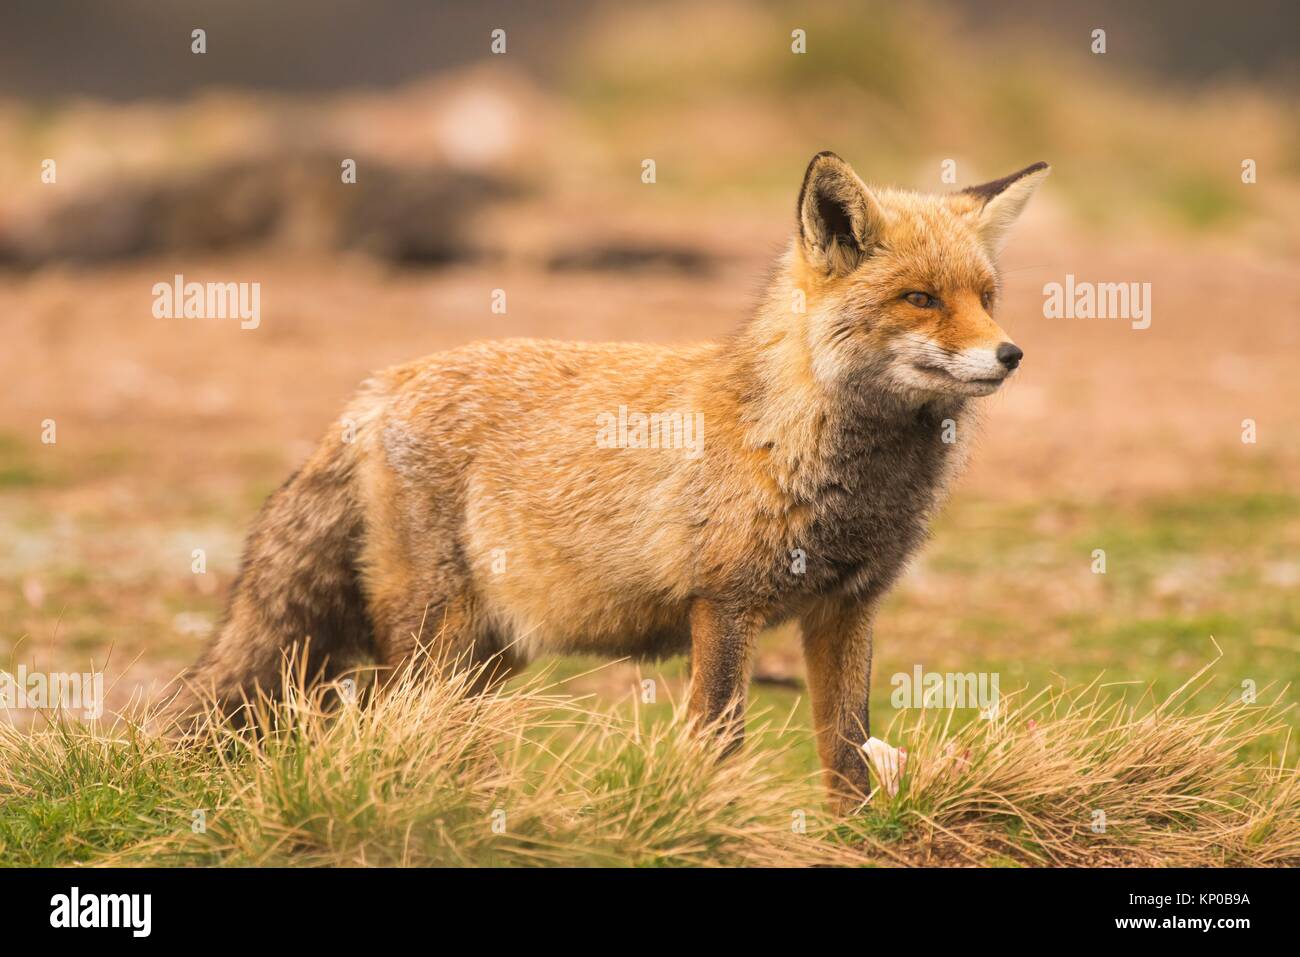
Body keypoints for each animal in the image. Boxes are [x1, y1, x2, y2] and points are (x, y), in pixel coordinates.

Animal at [172, 151, 1049, 810]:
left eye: (986, 297)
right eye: (920, 298)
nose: (1010, 354)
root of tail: (382, 383)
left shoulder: (846, 606)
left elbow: (848, 752)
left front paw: (854, 843)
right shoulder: (723, 603)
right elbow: (719, 740)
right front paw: (710, 826)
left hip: (486, 653)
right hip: (433, 637)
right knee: (380, 729)